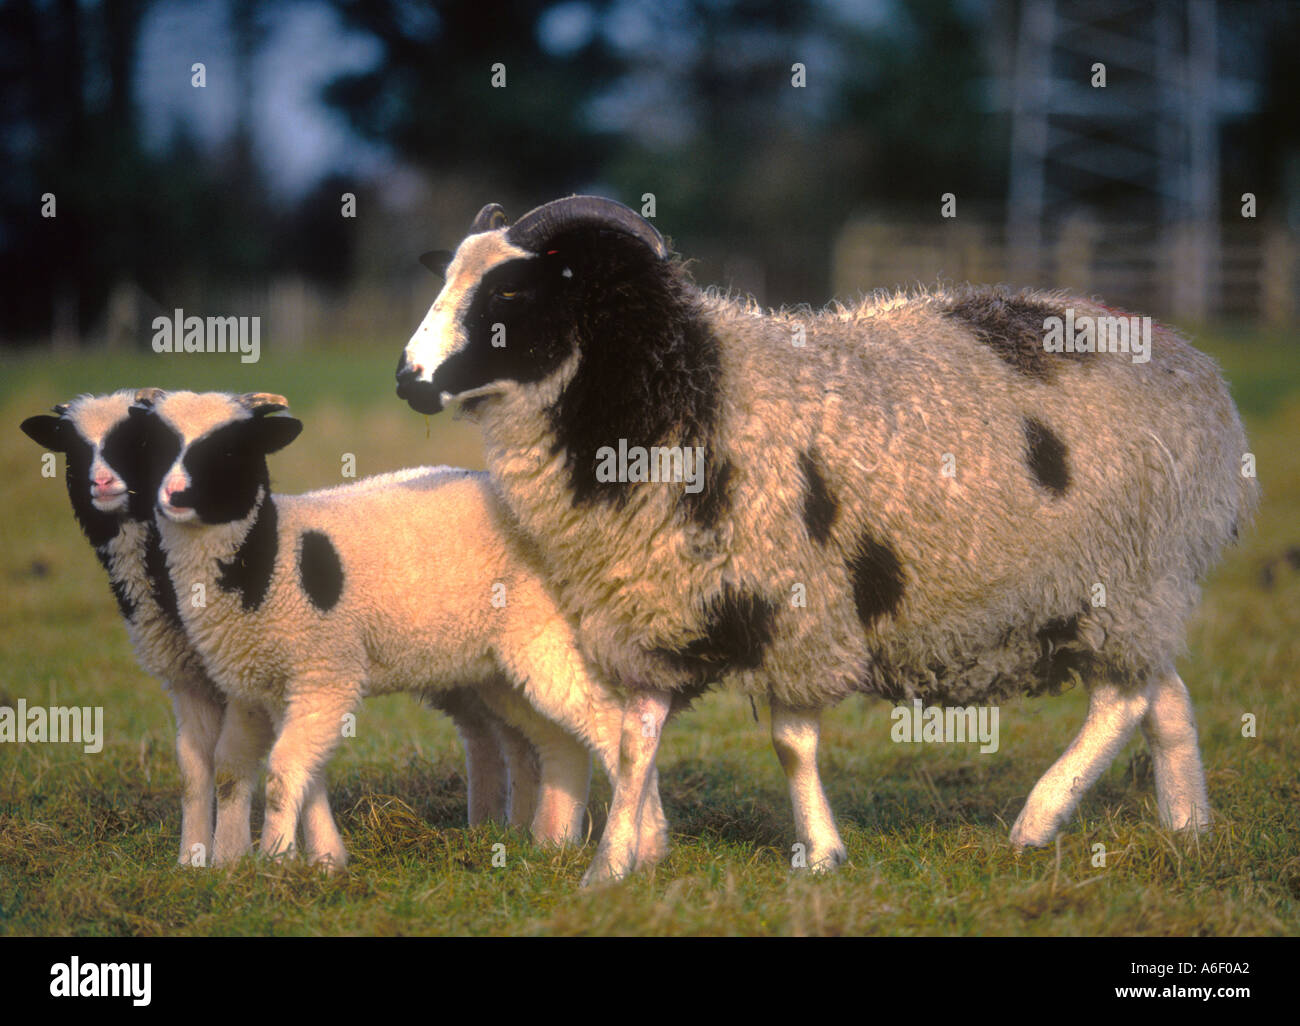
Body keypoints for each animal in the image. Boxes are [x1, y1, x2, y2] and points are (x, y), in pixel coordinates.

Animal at [19, 391, 544, 864]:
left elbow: (240, 765)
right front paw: (198, 860)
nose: (102, 483)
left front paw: (240, 857)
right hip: (465, 667)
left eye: (134, 443)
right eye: (73, 447)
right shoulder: (194, 680)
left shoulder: (261, 679)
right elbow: (199, 770)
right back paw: (498, 826)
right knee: (497, 736)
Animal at [139, 390, 666, 869]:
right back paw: (553, 840)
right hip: (500, 671)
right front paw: (298, 860)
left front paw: (276, 861)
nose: (174, 496)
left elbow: (282, 773)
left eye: (230, 450)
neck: (267, 556)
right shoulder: (267, 686)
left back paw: (645, 846)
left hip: (544, 639)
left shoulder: (324, 672)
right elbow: (254, 771)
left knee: (610, 725)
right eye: (157, 449)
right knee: (561, 741)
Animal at [395, 195, 1258, 884]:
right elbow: (635, 741)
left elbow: (791, 743)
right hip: (1130, 593)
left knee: (1123, 699)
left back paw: (1036, 822)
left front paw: (822, 854)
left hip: (1129, 574)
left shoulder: (795, 606)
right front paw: (615, 864)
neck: (690, 393)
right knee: (1162, 694)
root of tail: (1201, 371)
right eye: (447, 278)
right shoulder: (658, 608)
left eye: (510, 291)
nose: (407, 379)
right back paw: (1188, 827)